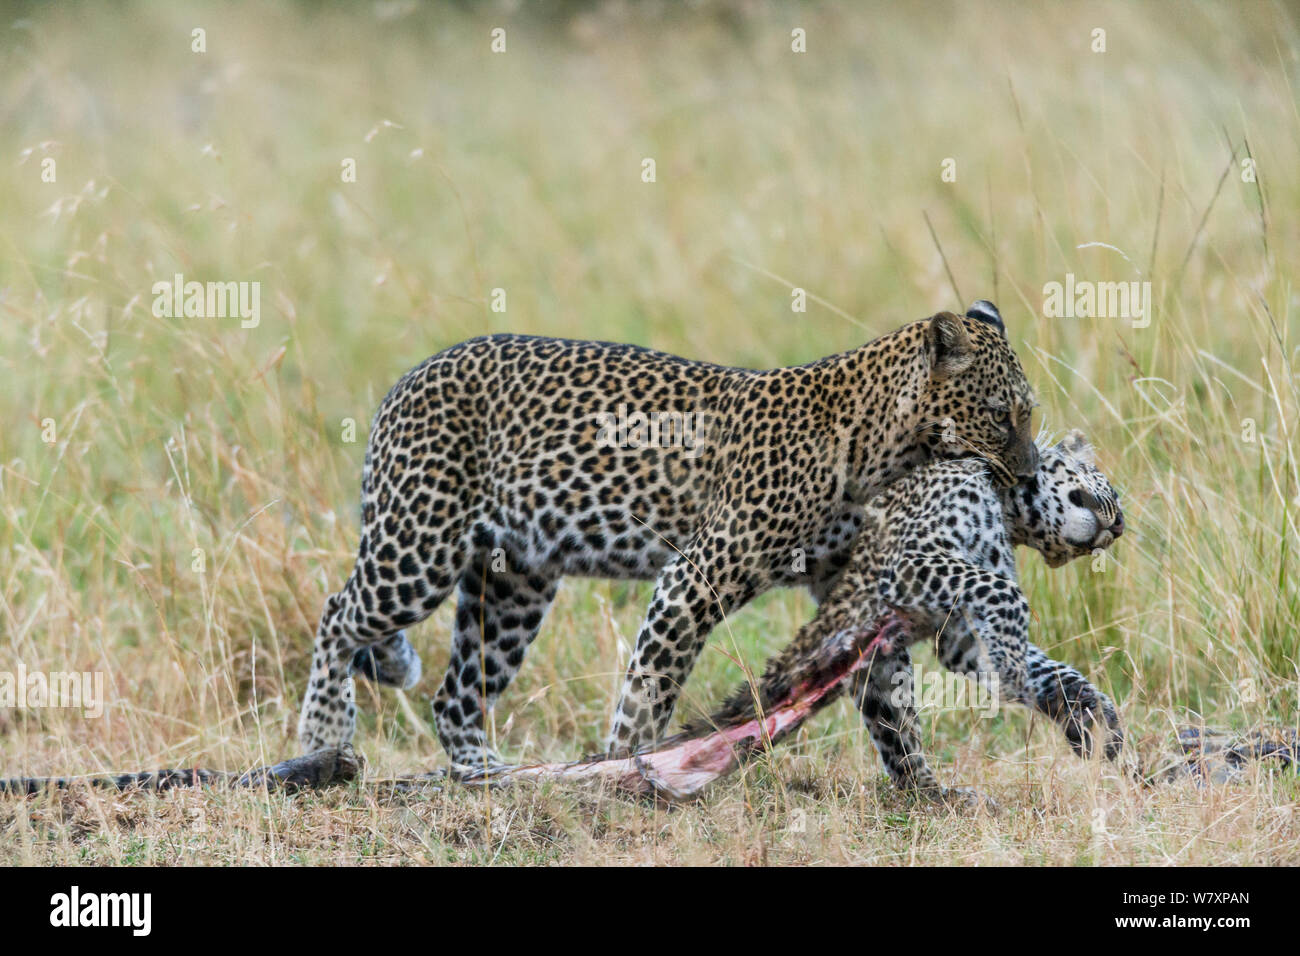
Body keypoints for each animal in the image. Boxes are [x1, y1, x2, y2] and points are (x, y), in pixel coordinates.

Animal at [296, 299, 1040, 773]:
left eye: (1029, 414)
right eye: (1003, 415)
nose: (1031, 471)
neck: (886, 446)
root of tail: (407, 380)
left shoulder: (849, 586)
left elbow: (890, 699)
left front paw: (926, 792)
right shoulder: (693, 577)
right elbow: (646, 694)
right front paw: (625, 772)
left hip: (515, 582)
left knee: (456, 695)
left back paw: (484, 774)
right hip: (419, 550)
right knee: (338, 616)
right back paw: (321, 736)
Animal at [692, 429, 1125, 806]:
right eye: (1114, 492)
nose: (1118, 528)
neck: (1005, 506)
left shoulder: (958, 635)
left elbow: (1054, 675)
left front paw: (1097, 725)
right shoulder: (907, 563)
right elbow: (1006, 592)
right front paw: (1012, 662)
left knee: (898, 741)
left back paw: (939, 797)